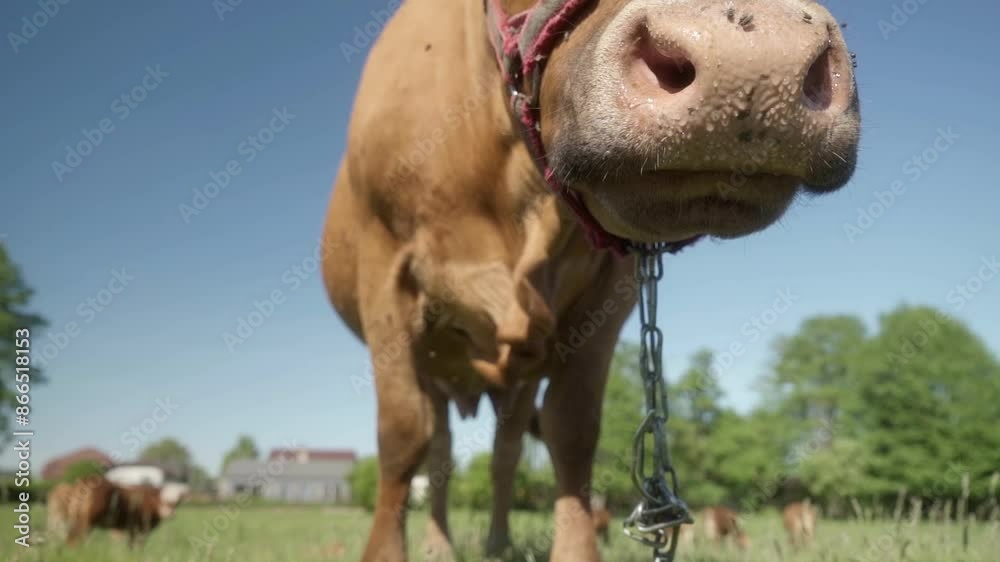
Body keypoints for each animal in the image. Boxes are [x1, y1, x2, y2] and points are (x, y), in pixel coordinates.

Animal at [46, 476, 183, 548]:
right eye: (162, 500)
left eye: (177, 502)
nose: (170, 513)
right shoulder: (138, 529)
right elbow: (135, 546)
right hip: (85, 521)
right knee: (74, 539)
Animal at [322, 0, 860, 560]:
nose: (755, 60)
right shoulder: (384, 269)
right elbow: (403, 435)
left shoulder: (609, 294)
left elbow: (573, 431)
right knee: (441, 452)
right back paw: (441, 545)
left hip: (514, 380)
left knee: (504, 453)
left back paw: (497, 543)